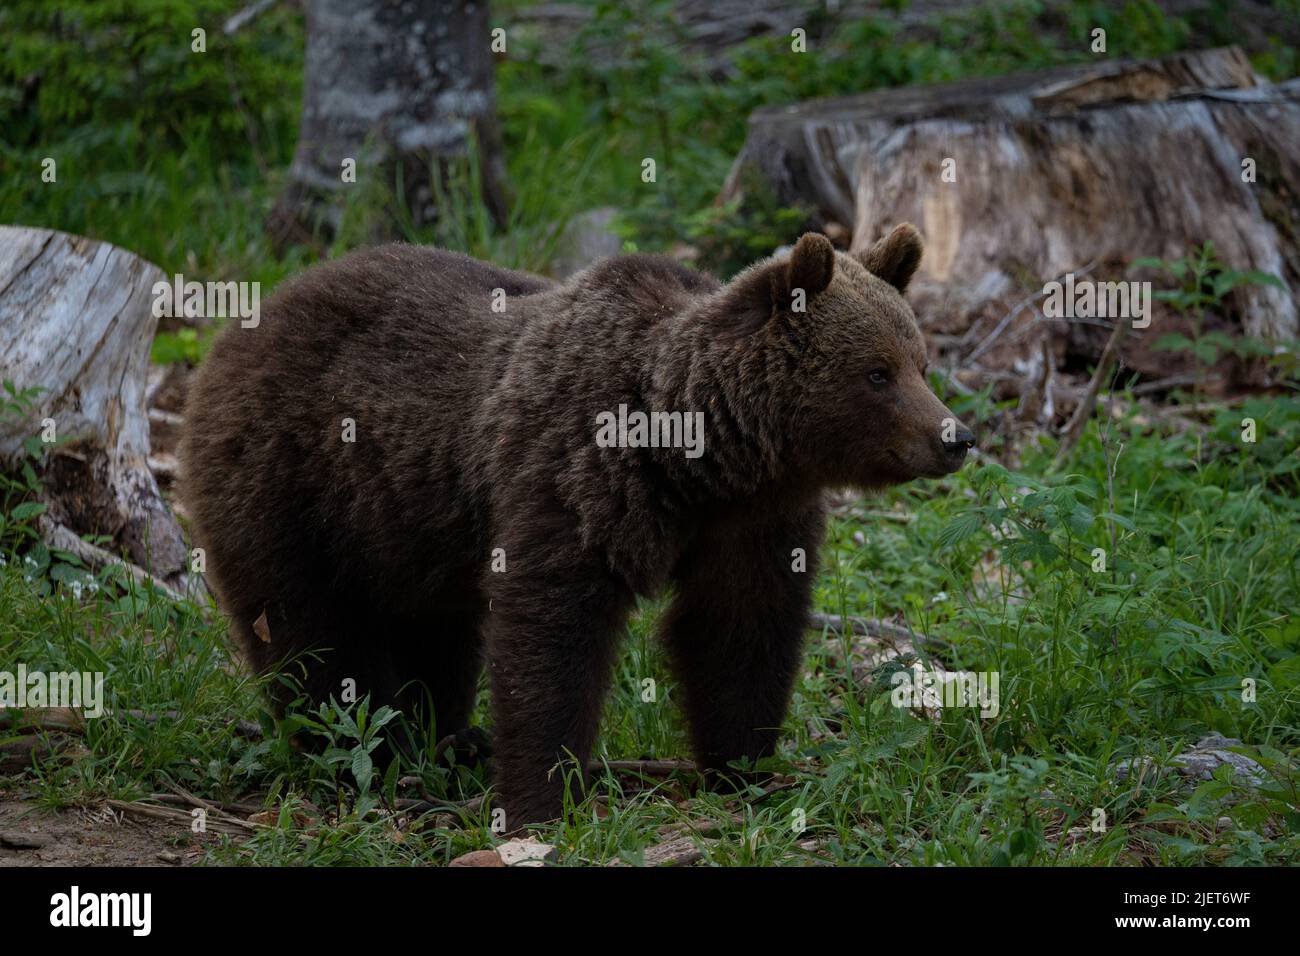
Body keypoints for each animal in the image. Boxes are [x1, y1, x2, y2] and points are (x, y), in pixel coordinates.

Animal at [180, 224, 974, 826]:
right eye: (877, 373)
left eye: (921, 361)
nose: (955, 437)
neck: (697, 452)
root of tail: (249, 317)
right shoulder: (573, 473)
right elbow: (554, 631)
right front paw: (544, 796)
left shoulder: (753, 520)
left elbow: (740, 629)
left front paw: (744, 768)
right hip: (292, 482)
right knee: (310, 631)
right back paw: (359, 750)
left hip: (407, 521)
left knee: (434, 629)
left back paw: (444, 739)